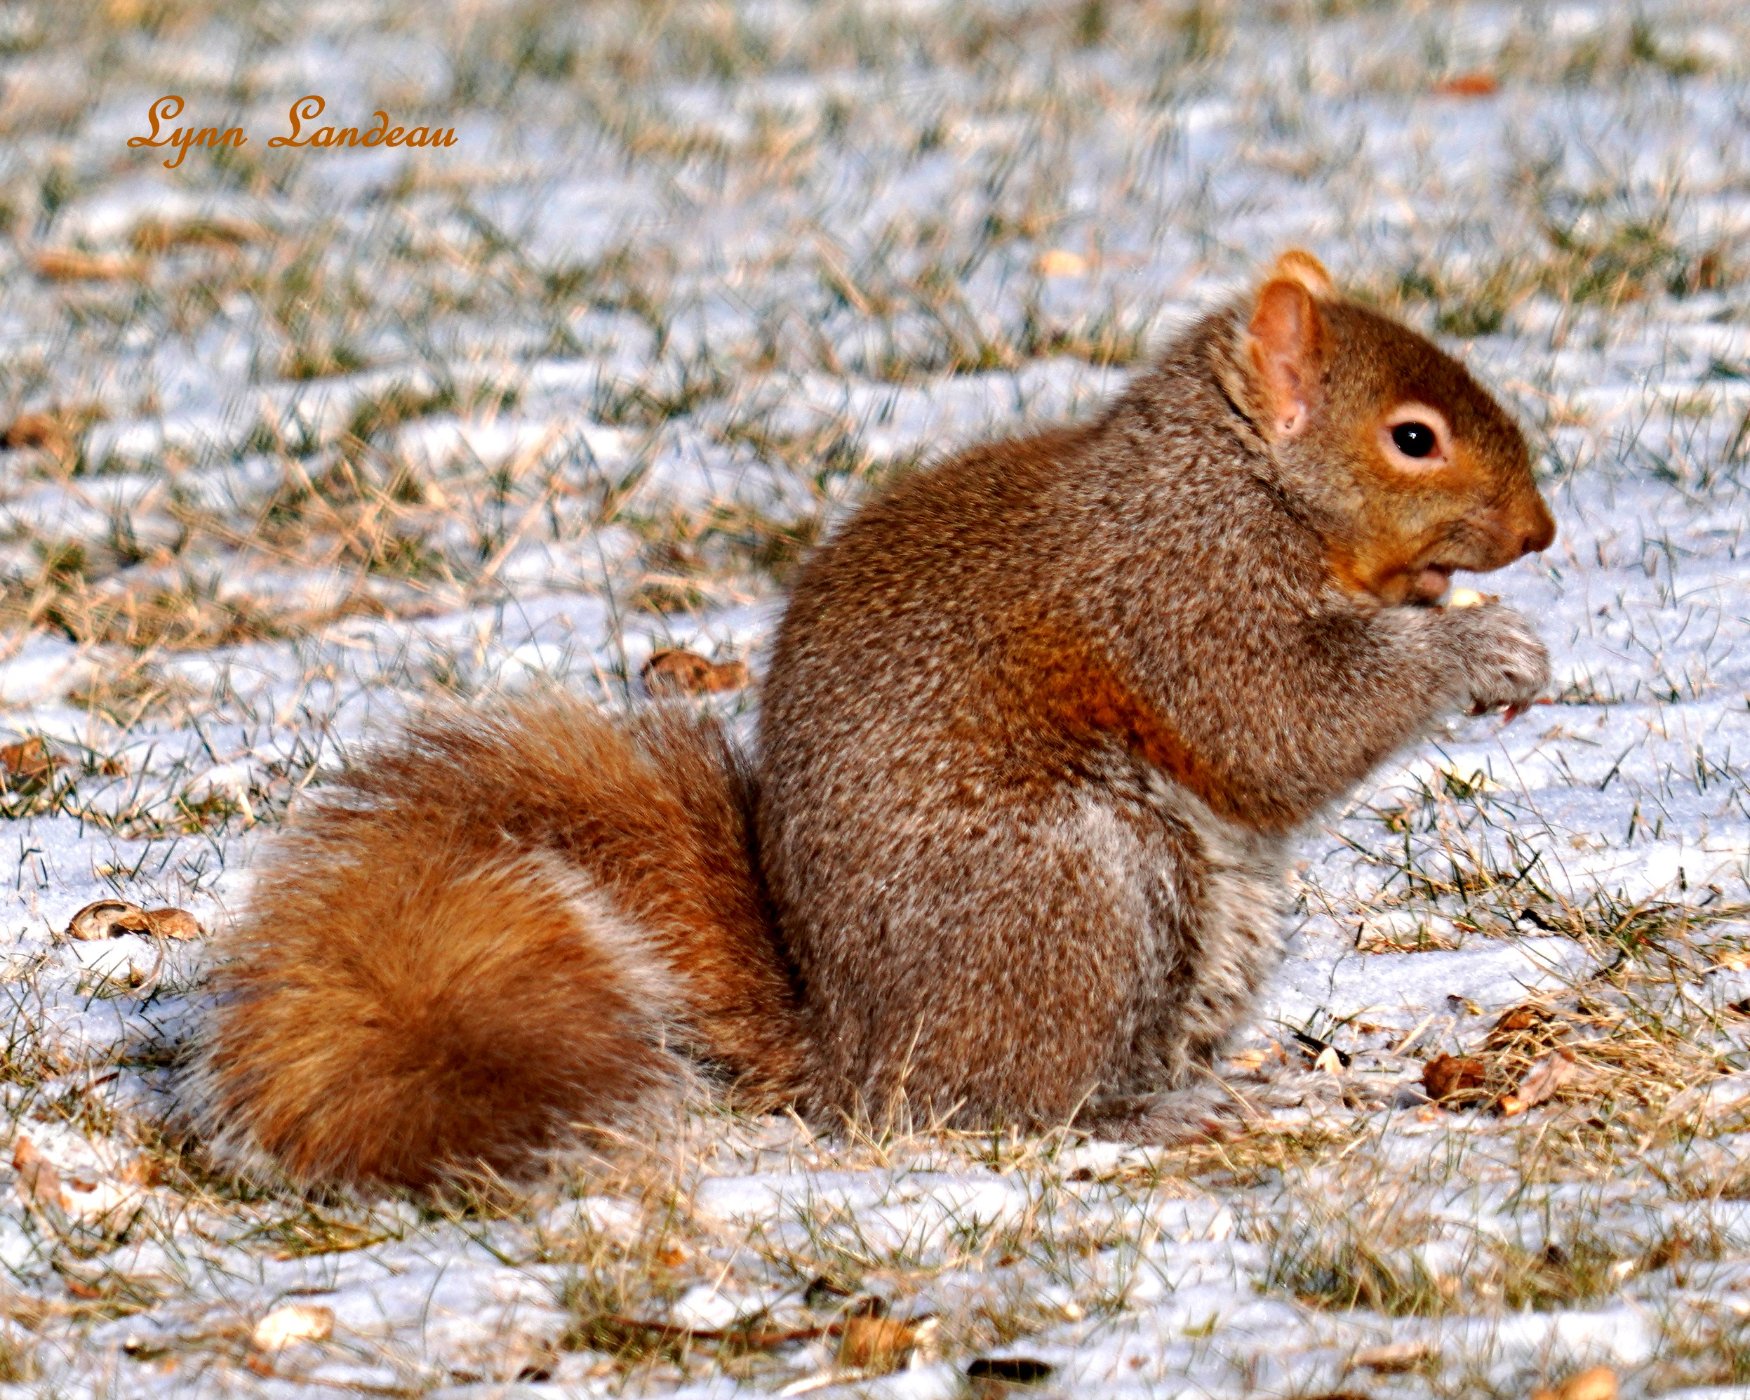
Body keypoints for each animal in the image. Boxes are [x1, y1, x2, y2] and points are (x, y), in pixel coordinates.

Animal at [186, 251, 1555, 1190]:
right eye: (1412, 438)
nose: (1542, 533)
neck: (1235, 482)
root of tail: (855, 1051)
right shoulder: (1177, 597)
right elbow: (1271, 723)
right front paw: (1476, 647)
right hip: (1083, 890)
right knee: (1003, 1102)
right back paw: (1140, 1115)